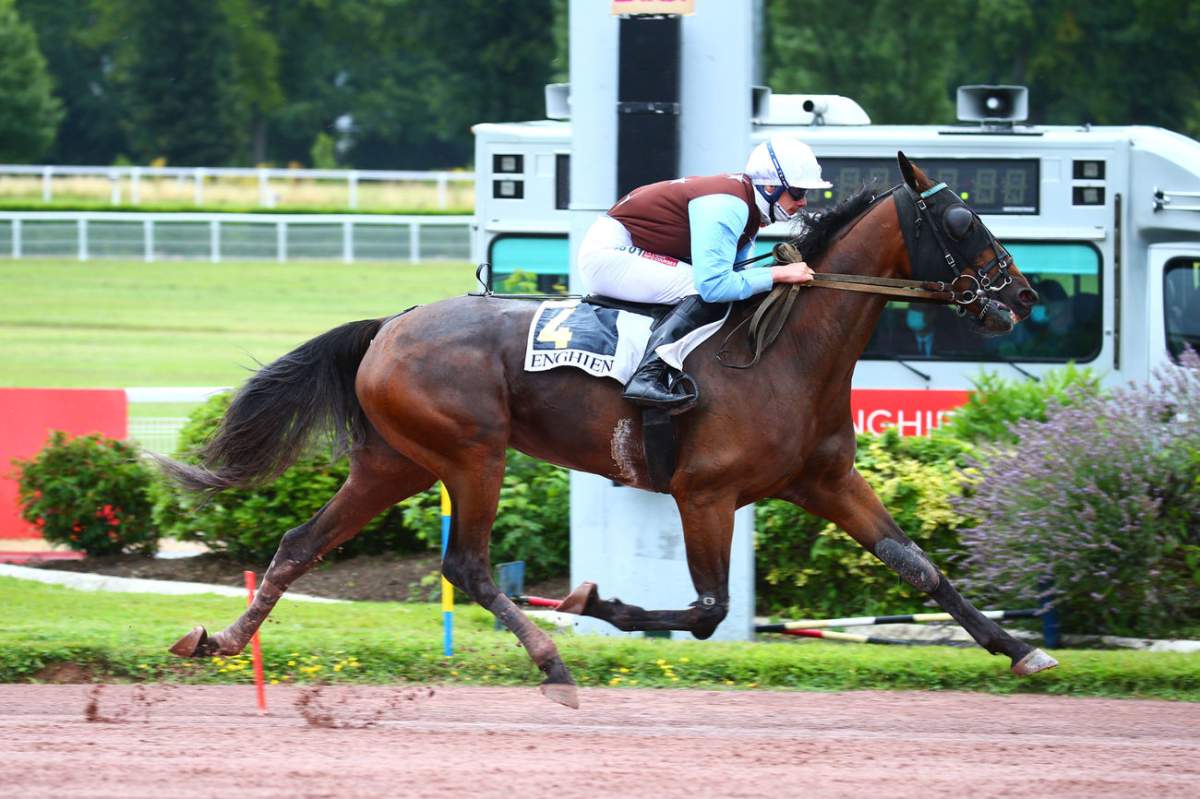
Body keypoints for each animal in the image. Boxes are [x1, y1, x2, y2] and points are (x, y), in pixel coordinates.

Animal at [161, 153, 1056, 708]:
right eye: (964, 223)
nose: (1022, 294)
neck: (785, 350)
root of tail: (390, 324)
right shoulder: (704, 493)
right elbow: (706, 607)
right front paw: (596, 601)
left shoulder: (825, 479)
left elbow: (919, 566)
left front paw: (1019, 647)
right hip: (473, 453)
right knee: (468, 563)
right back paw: (552, 662)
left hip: (395, 462)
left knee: (299, 542)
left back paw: (220, 639)